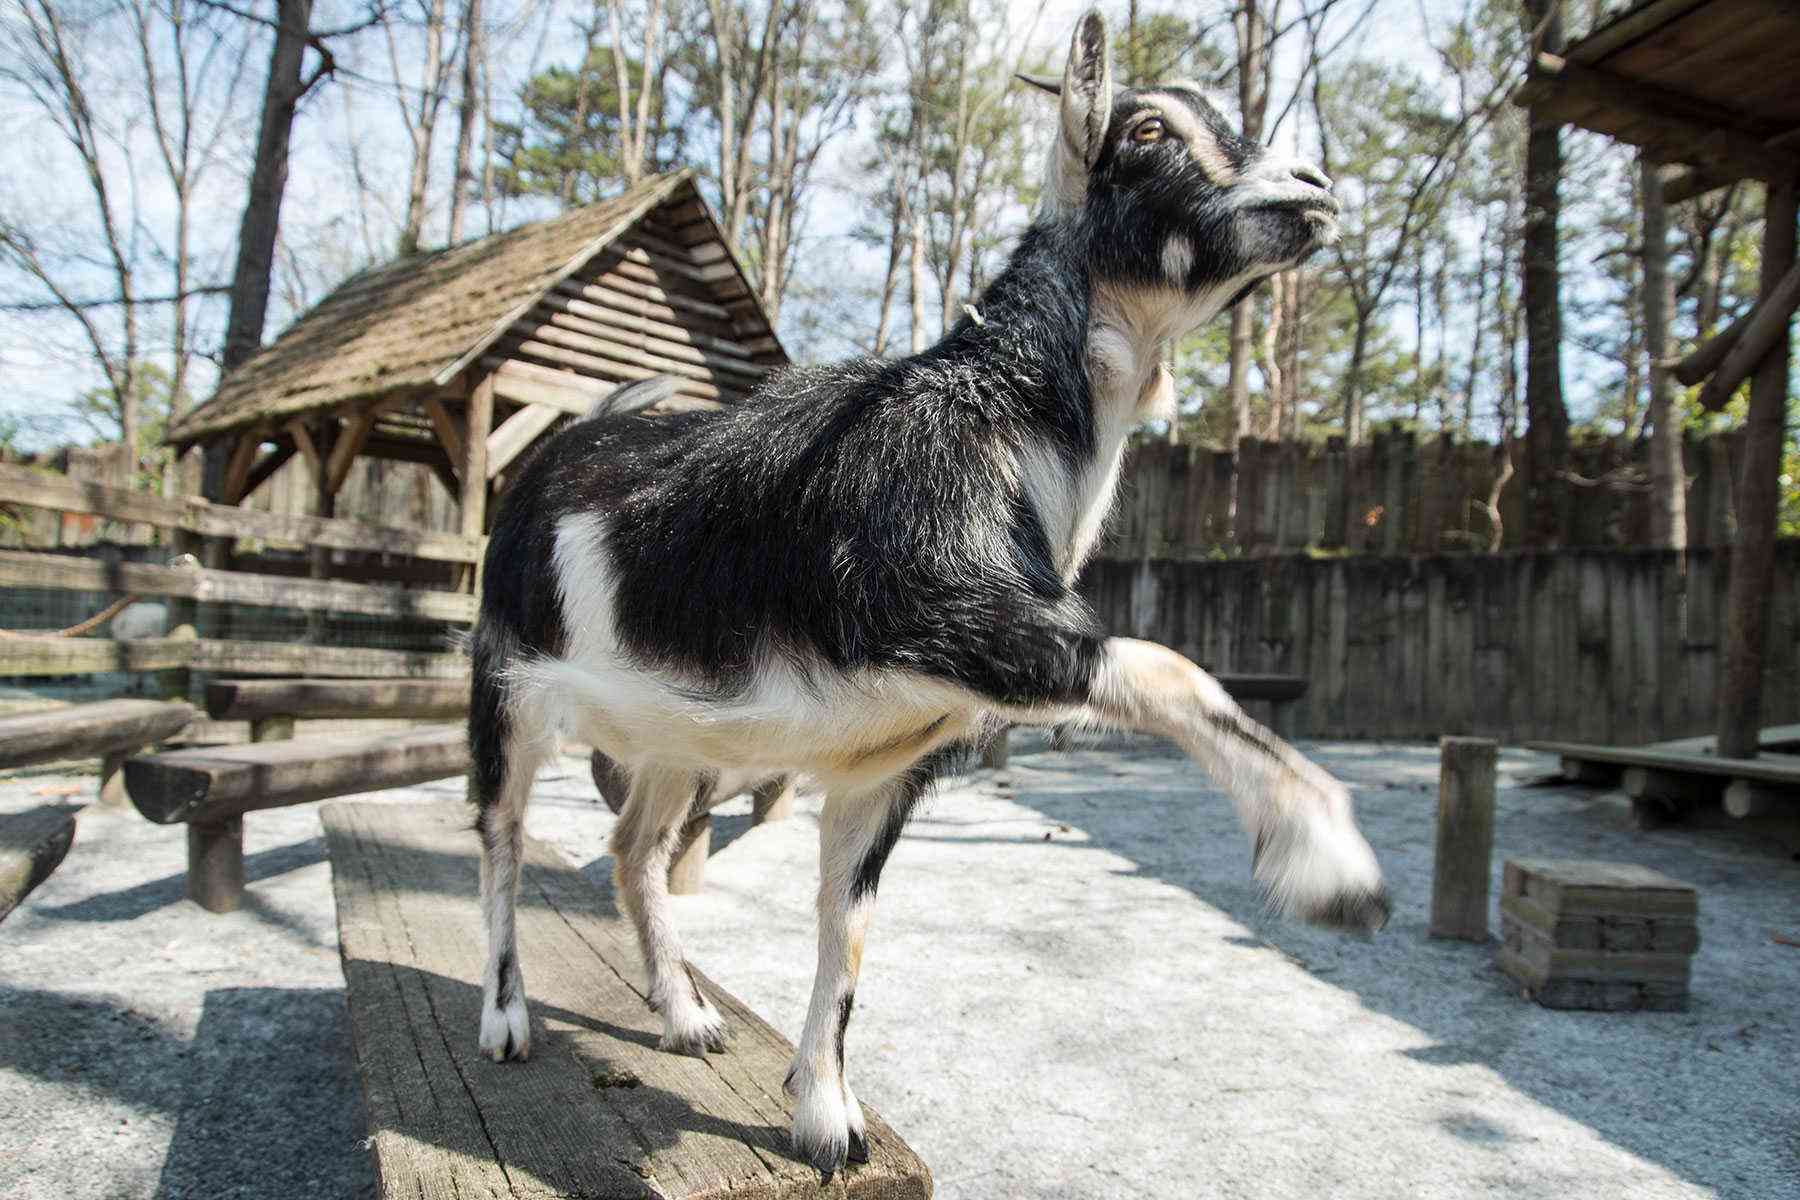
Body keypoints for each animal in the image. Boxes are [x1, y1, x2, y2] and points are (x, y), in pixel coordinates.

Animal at [468, 10, 1387, 1177]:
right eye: (1145, 131)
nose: (1313, 188)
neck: (1000, 423)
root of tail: (561, 443)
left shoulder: (885, 766)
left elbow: (848, 931)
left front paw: (826, 1117)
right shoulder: (940, 609)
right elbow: (1163, 666)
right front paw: (1331, 864)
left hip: (677, 735)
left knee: (635, 851)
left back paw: (684, 1015)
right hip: (504, 686)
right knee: (500, 835)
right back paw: (506, 1019)